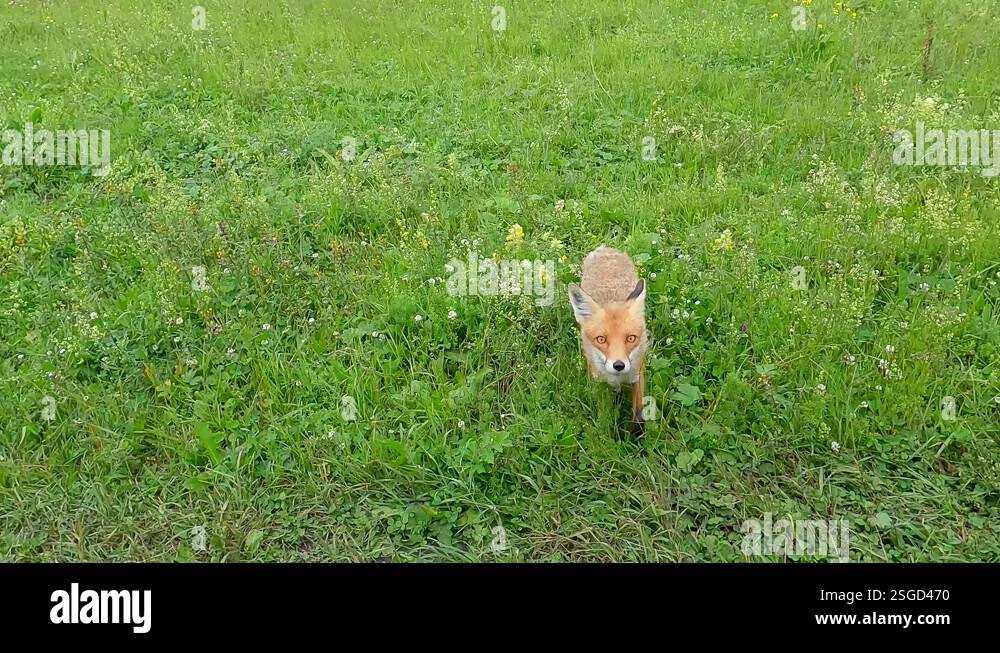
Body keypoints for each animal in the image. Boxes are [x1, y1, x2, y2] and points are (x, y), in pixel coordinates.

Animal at [567, 246, 649, 434]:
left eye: (631, 338)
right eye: (601, 339)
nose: (619, 365)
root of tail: (605, 248)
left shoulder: (638, 372)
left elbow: (639, 414)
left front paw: (635, 434)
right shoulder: (599, 381)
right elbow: (605, 416)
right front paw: (609, 435)